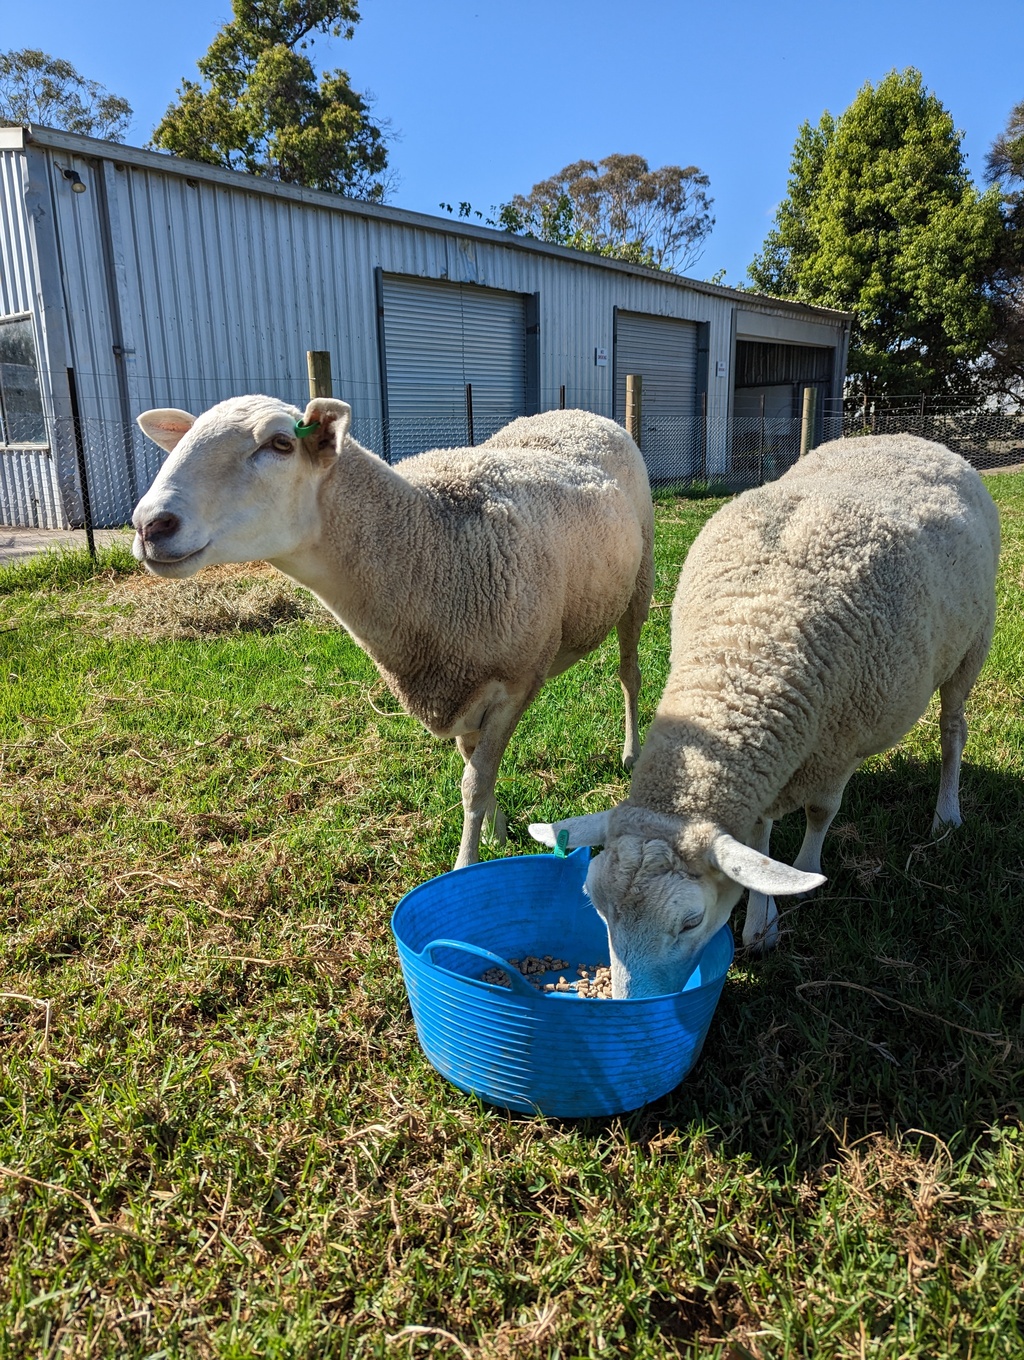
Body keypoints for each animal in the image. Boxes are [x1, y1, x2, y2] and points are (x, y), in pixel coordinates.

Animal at [131, 396, 654, 868]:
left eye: (281, 443)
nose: (149, 524)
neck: (432, 548)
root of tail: (578, 412)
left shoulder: (515, 683)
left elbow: (473, 783)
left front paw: (466, 863)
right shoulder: (457, 687)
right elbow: (475, 770)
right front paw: (497, 832)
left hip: (639, 582)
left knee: (629, 675)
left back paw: (631, 753)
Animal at [531, 433, 1001, 998]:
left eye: (691, 922)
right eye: (598, 909)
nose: (630, 1008)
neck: (743, 653)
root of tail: (908, 437)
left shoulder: (837, 747)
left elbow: (820, 814)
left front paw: (802, 874)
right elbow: (756, 839)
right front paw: (762, 920)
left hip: (972, 646)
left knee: (954, 730)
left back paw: (946, 814)